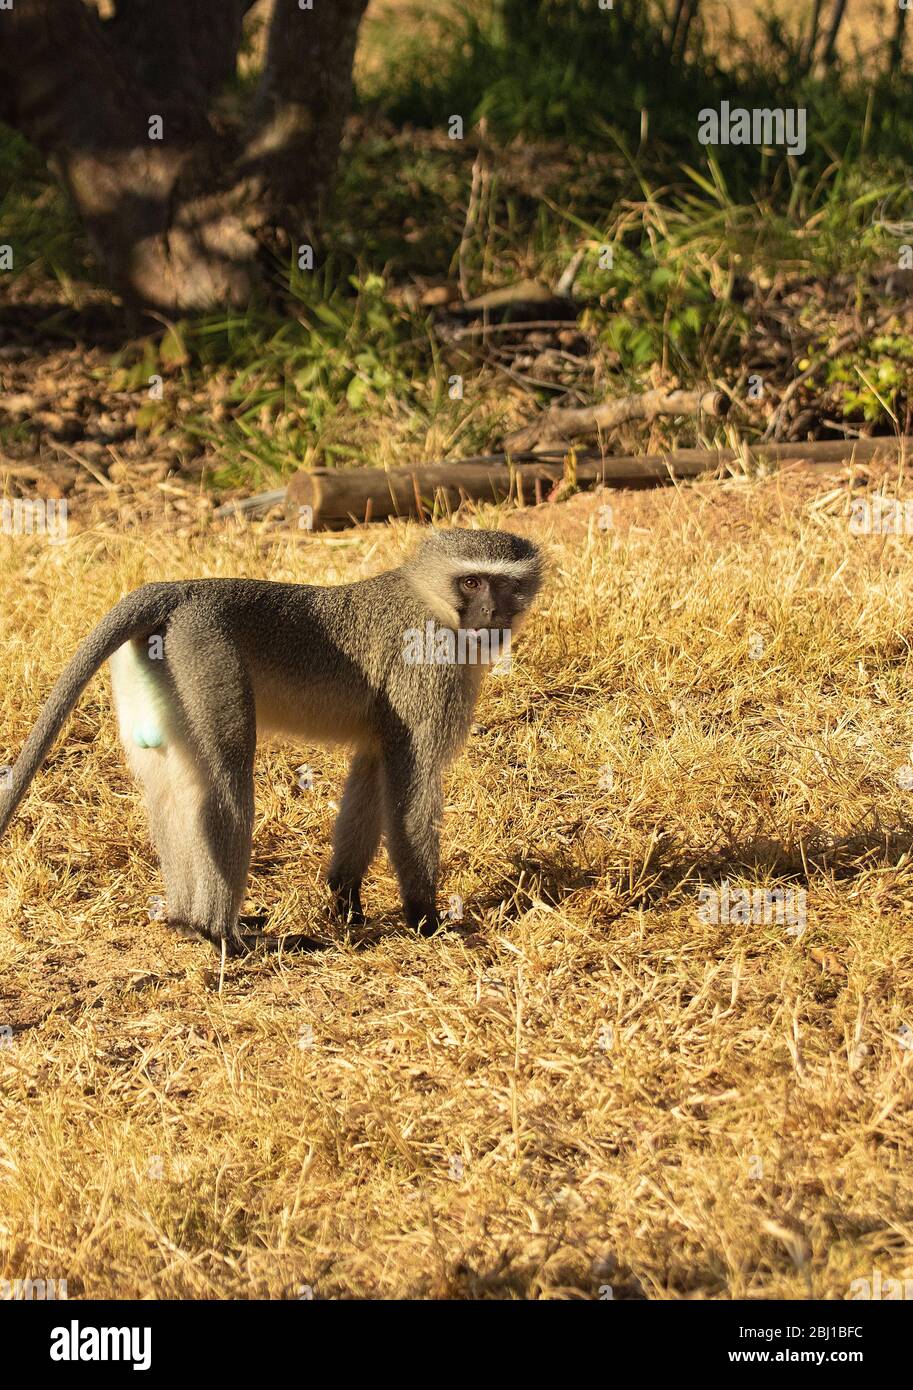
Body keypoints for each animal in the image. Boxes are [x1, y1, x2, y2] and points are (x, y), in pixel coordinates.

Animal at [0, 528, 543, 957]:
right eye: (471, 582)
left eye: (507, 585)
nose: (493, 611)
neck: (431, 602)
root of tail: (179, 591)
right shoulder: (429, 674)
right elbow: (411, 791)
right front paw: (425, 917)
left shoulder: (386, 726)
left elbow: (372, 774)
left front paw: (345, 900)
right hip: (206, 651)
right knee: (223, 786)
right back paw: (220, 934)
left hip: (155, 664)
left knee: (171, 791)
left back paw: (185, 922)